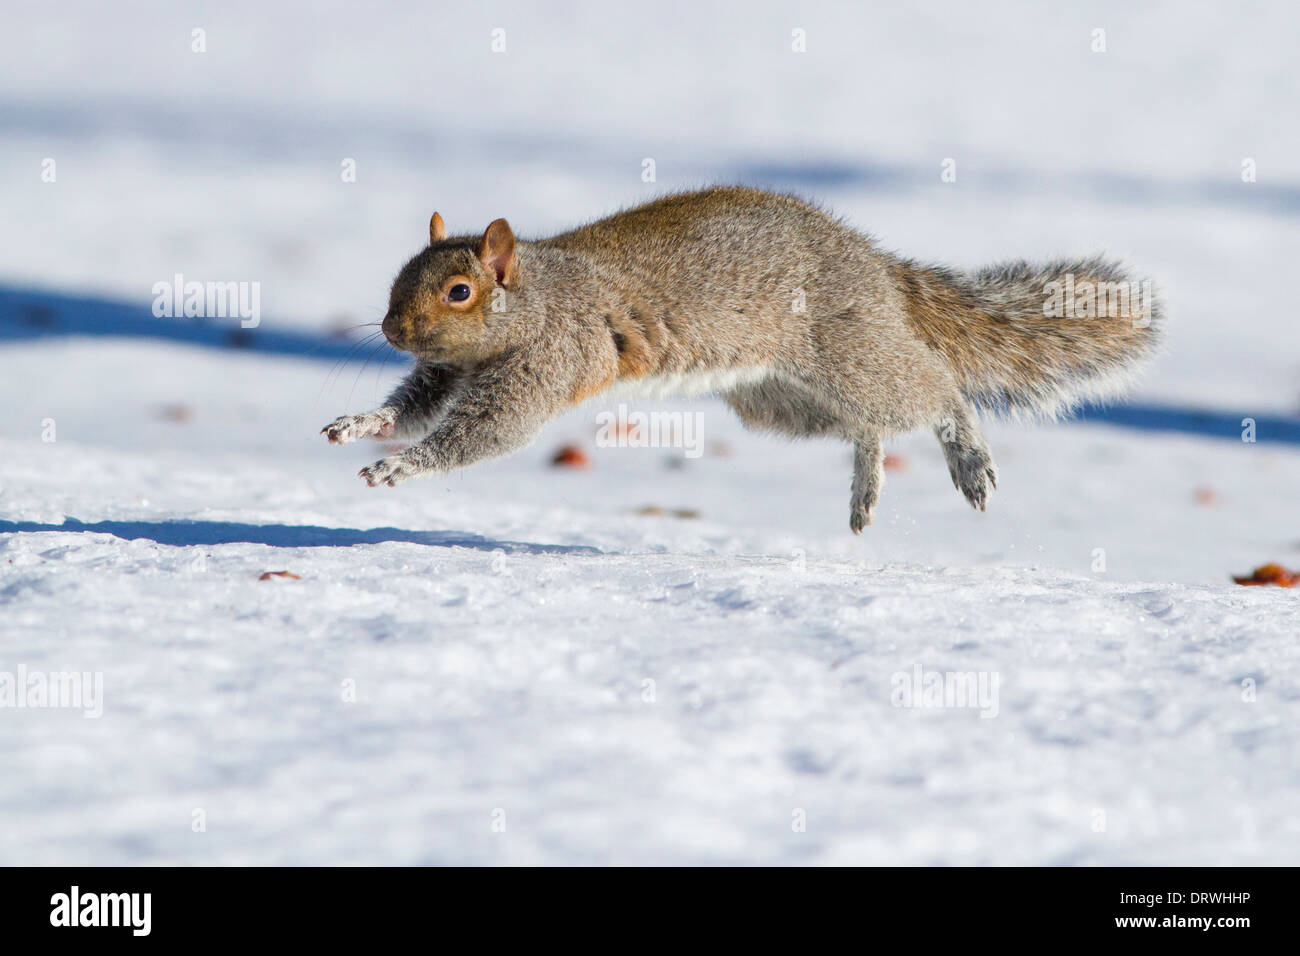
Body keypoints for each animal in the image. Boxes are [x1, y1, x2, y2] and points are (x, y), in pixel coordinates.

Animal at [322, 187, 1160, 533]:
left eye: (459, 290)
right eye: (401, 275)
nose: (393, 330)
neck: (535, 300)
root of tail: (876, 268)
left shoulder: (553, 358)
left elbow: (485, 430)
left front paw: (398, 467)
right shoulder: (449, 371)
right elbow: (415, 404)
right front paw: (362, 425)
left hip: (847, 352)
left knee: (935, 392)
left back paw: (969, 460)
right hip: (779, 400)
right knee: (866, 426)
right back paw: (865, 492)